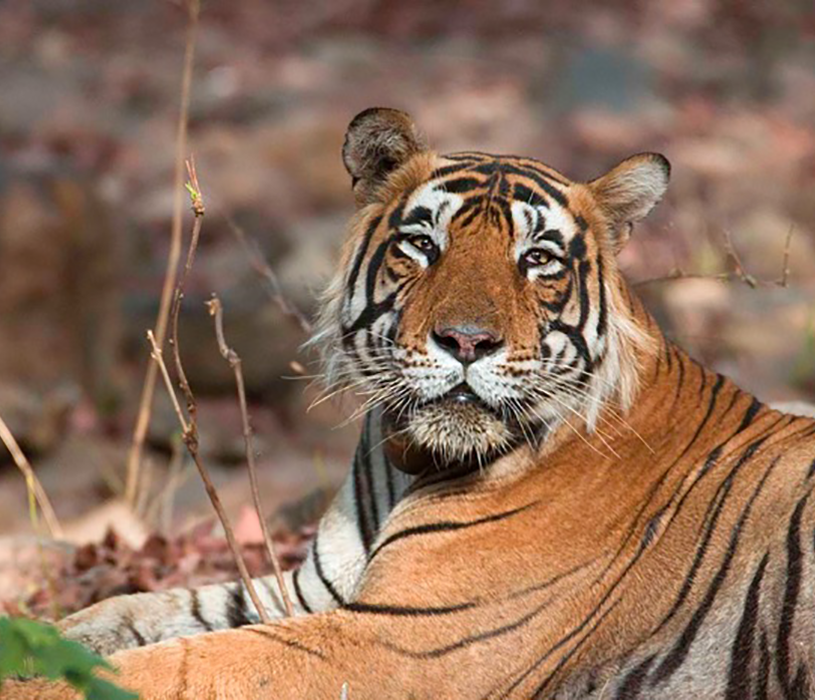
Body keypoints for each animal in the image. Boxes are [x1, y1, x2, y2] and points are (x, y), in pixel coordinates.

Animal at [4, 106, 815, 699]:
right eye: (423, 244)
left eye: (538, 259)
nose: (466, 341)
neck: (409, 460)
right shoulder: (312, 592)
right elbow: (125, 615)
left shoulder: (396, 644)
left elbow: (166, 665)